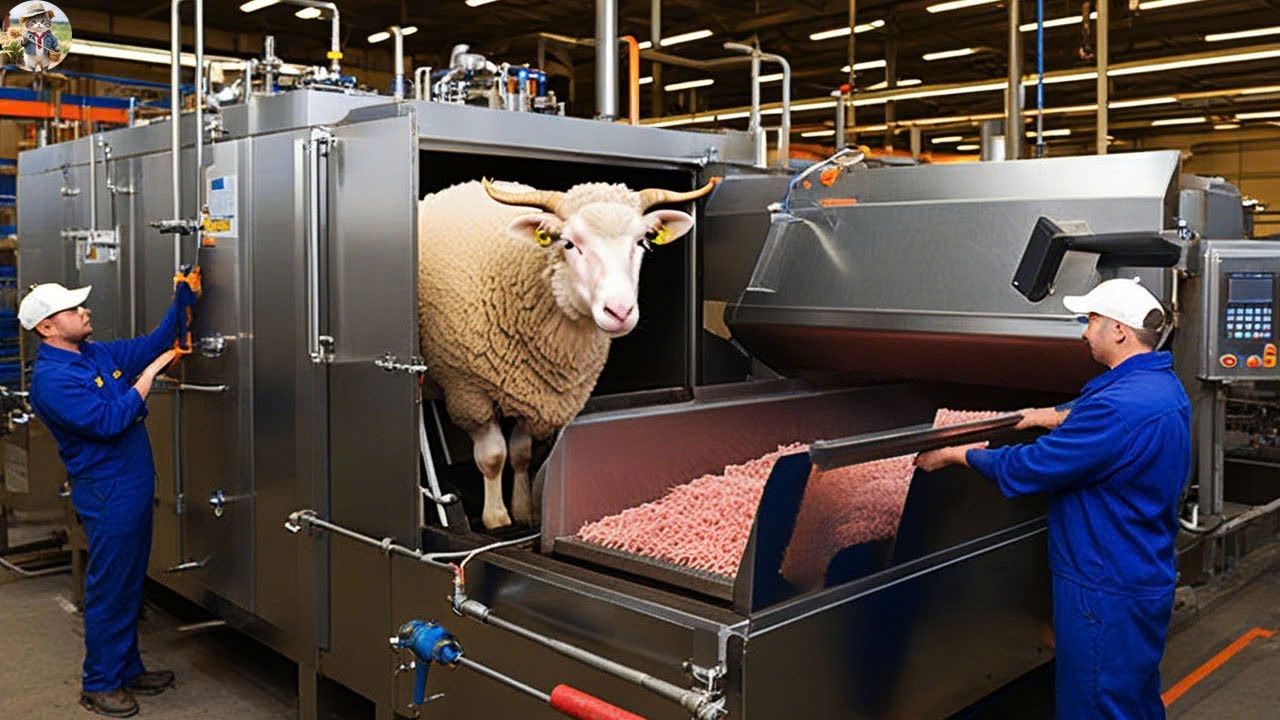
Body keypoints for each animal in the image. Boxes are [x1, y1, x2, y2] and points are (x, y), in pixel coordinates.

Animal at [417, 178, 715, 529]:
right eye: (569, 244)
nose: (619, 311)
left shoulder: (535, 394)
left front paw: (524, 511)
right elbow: (493, 456)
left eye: (642, 241)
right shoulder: (468, 390)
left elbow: (520, 454)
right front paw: (497, 518)